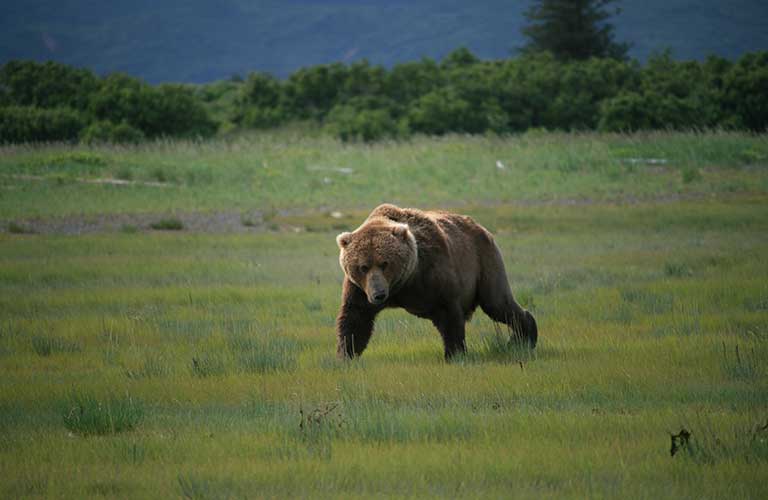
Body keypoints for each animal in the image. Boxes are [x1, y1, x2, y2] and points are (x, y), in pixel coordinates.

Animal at [335, 203, 537, 359]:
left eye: (384, 263)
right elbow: (355, 319)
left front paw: (454, 354)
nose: (378, 294)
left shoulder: (432, 272)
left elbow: (448, 313)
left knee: (497, 303)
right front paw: (346, 356)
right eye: (363, 266)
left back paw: (524, 336)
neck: (402, 285)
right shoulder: (359, 289)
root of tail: (481, 227)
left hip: (484, 260)